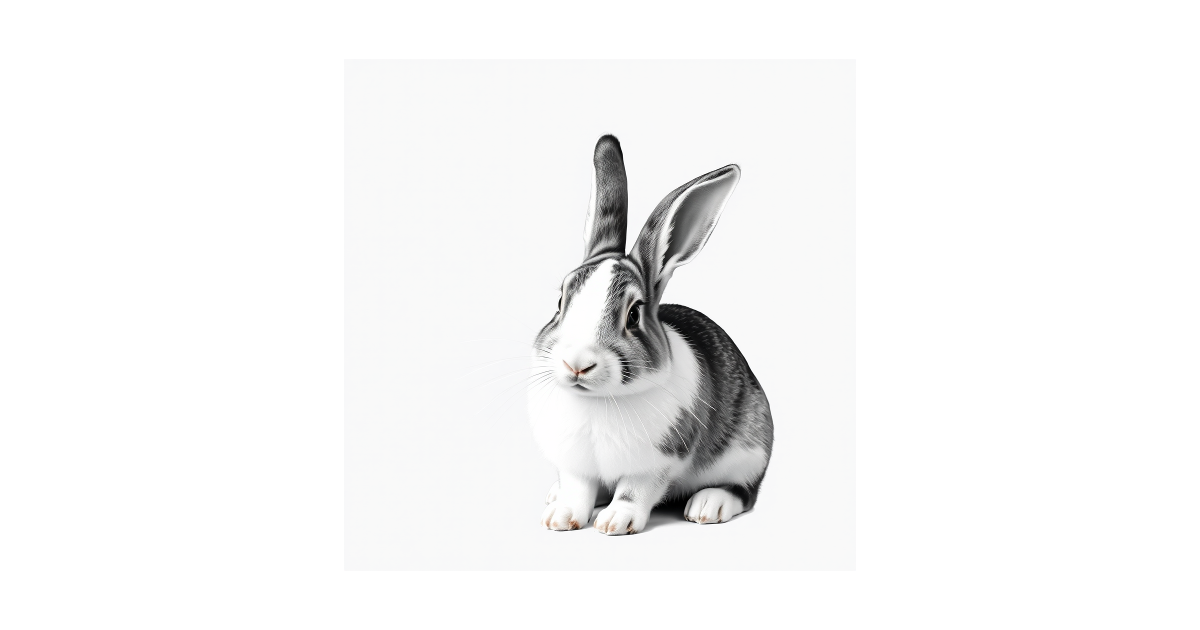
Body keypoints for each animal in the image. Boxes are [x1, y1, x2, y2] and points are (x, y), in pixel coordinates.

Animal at [528, 135, 774, 535]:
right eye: (561, 300)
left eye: (634, 314)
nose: (577, 363)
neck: (598, 401)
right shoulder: (575, 464)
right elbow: (577, 488)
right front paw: (560, 517)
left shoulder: (657, 463)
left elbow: (634, 490)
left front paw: (615, 522)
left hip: (749, 452)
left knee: (744, 490)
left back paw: (709, 505)